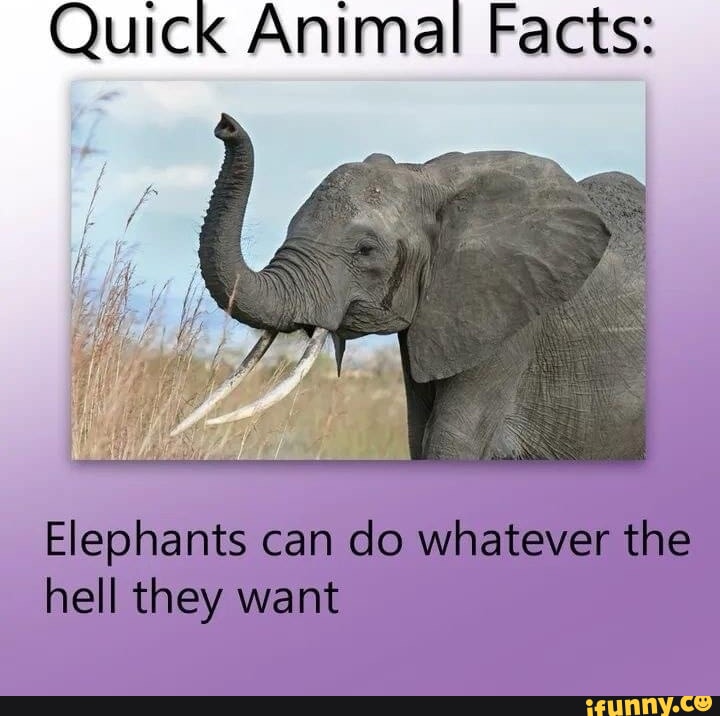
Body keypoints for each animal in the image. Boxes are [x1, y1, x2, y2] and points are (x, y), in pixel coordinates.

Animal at [171, 112, 645, 460]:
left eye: (365, 250)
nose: (225, 124)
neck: (429, 177)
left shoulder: (509, 328)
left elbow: (450, 443)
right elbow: (419, 437)